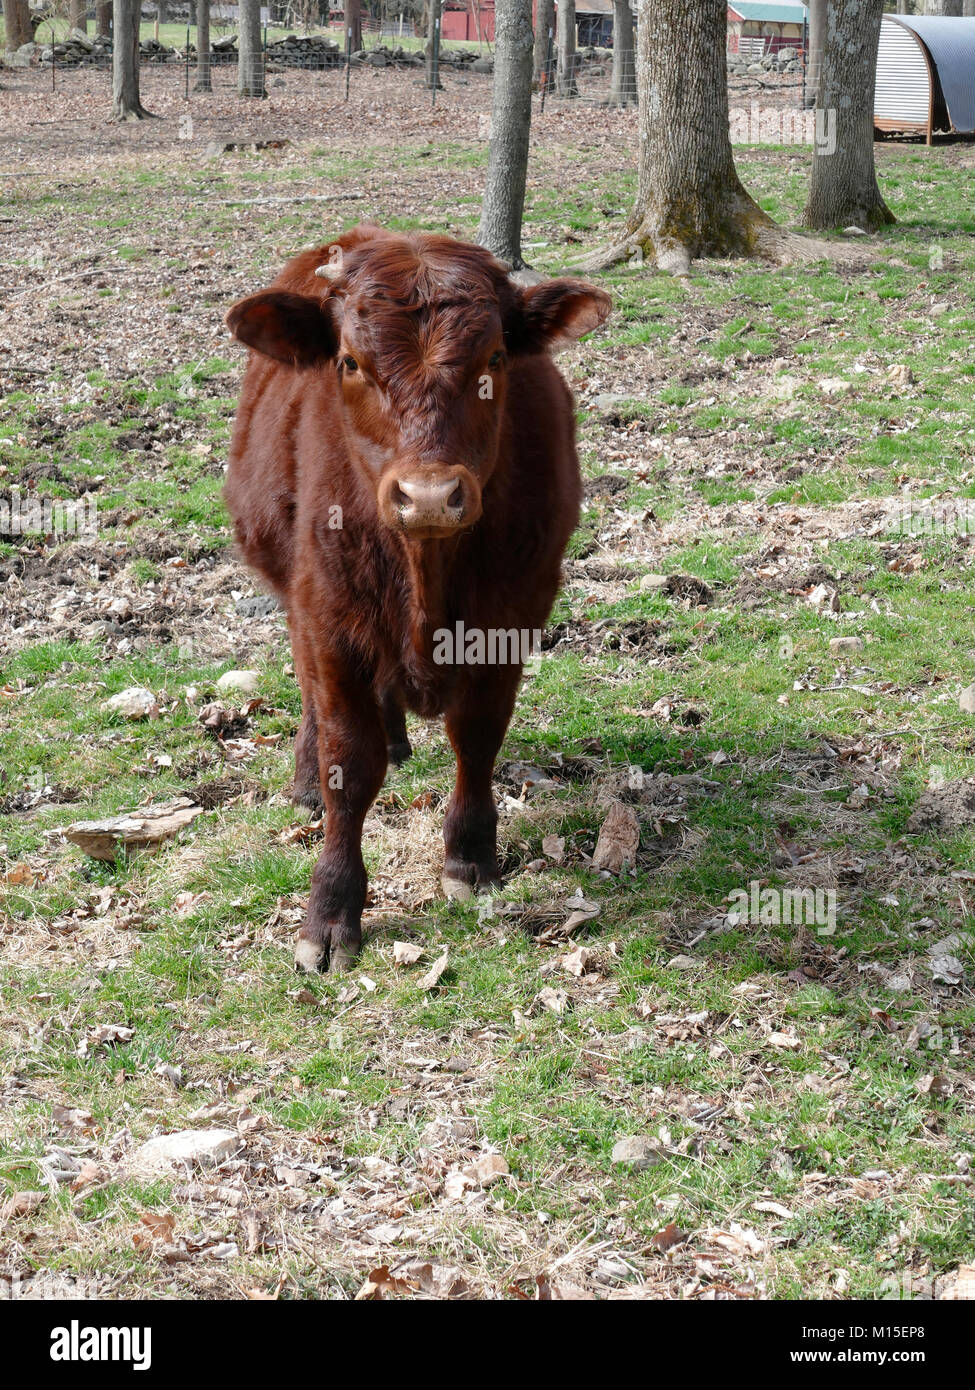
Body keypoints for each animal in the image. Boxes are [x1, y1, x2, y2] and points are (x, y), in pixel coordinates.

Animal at [224, 224, 611, 972]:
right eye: (348, 362)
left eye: (495, 357)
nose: (428, 496)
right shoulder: (330, 619)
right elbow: (350, 764)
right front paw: (331, 910)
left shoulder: (510, 620)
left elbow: (477, 737)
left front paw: (470, 856)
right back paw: (309, 777)